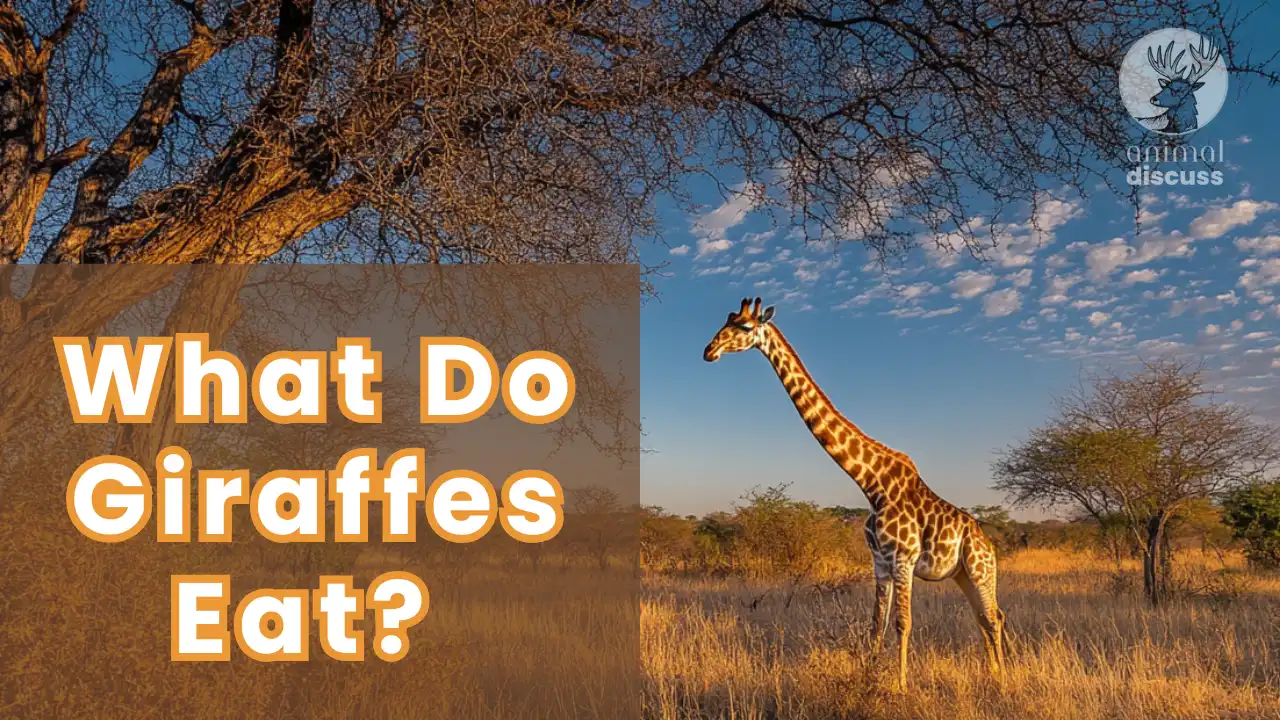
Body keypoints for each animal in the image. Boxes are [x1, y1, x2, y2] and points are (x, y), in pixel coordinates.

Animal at [702, 297, 1008, 691]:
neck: (871, 484)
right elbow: (877, 623)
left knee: (993, 616)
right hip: (963, 575)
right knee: (985, 617)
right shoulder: (879, 561)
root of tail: (988, 543)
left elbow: (903, 623)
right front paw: (870, 677)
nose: (709, 351)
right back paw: (995, 675)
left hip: (980, 570)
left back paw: (1005, 678)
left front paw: (900, 686)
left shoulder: (903, 558)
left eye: (742, 327)